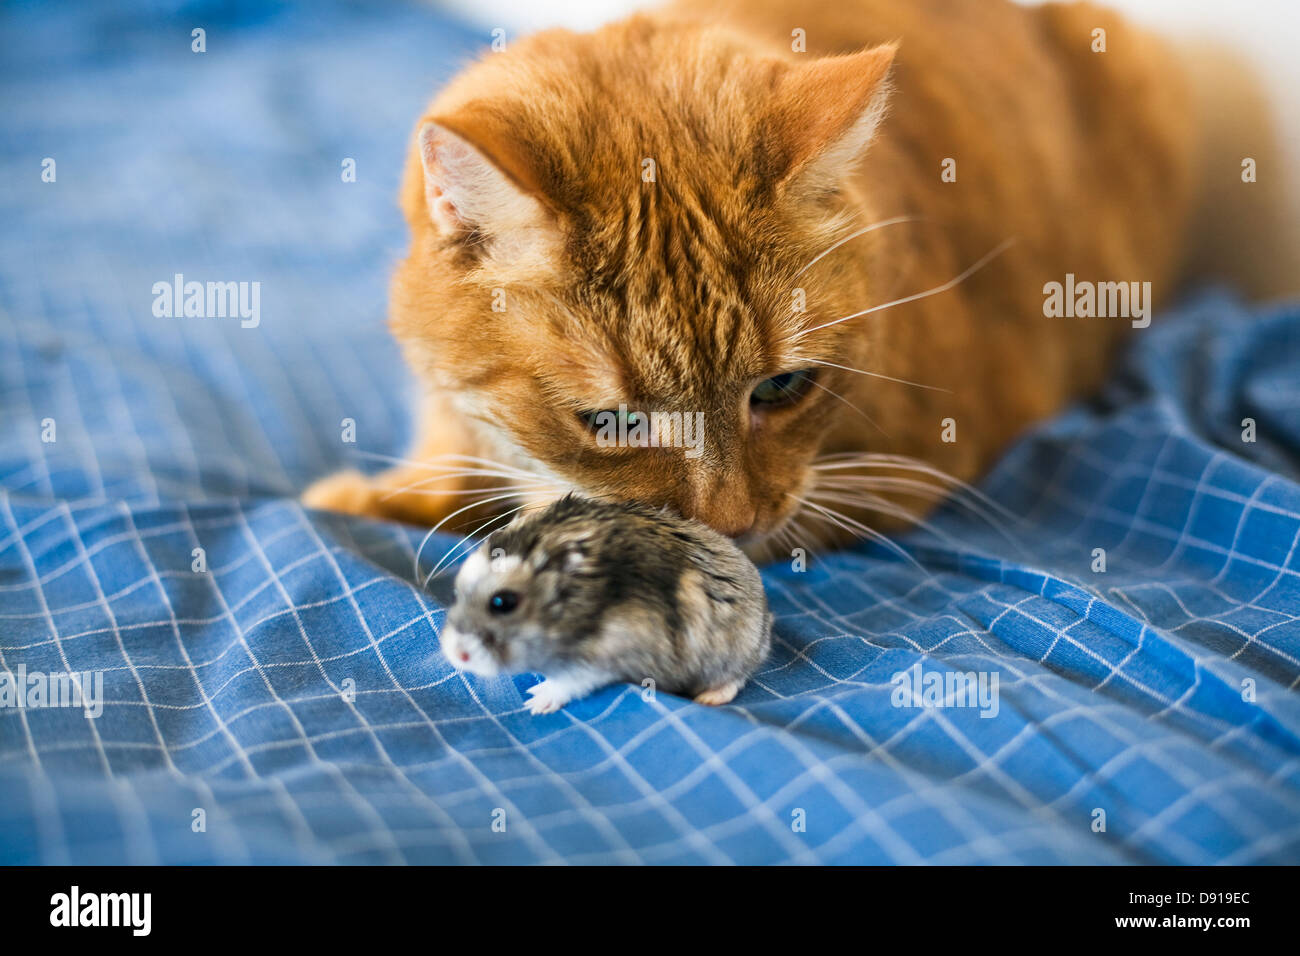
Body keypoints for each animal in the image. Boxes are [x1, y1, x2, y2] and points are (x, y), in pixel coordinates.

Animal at [439, 494, 773, 714]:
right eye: (455, 593)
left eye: (502, 602)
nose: (456, 656)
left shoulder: (610, 654)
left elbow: (571, 680)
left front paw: (535, 702)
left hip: (735, 651)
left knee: (737, 677)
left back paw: (708, 698)